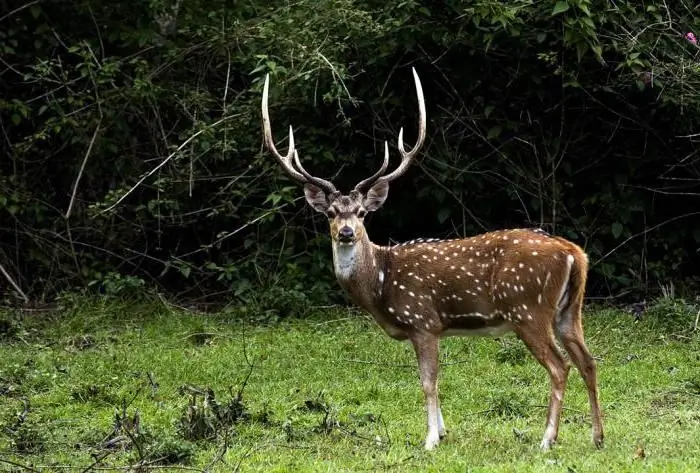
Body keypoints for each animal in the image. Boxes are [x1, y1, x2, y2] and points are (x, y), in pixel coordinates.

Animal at [260, 69, 604, 450]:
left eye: (362, 213)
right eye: (331, 213)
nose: (347, 232)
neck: (380, 284)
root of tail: (573, 253)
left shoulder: (422, 320)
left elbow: (428, 381)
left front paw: (430, 440)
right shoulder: (428, 328)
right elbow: (431, 379)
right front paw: (441, 431)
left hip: (527, 308)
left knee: (560, 366)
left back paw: (547, 439)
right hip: (569, 310)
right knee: (588, 361)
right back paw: (597, 436)